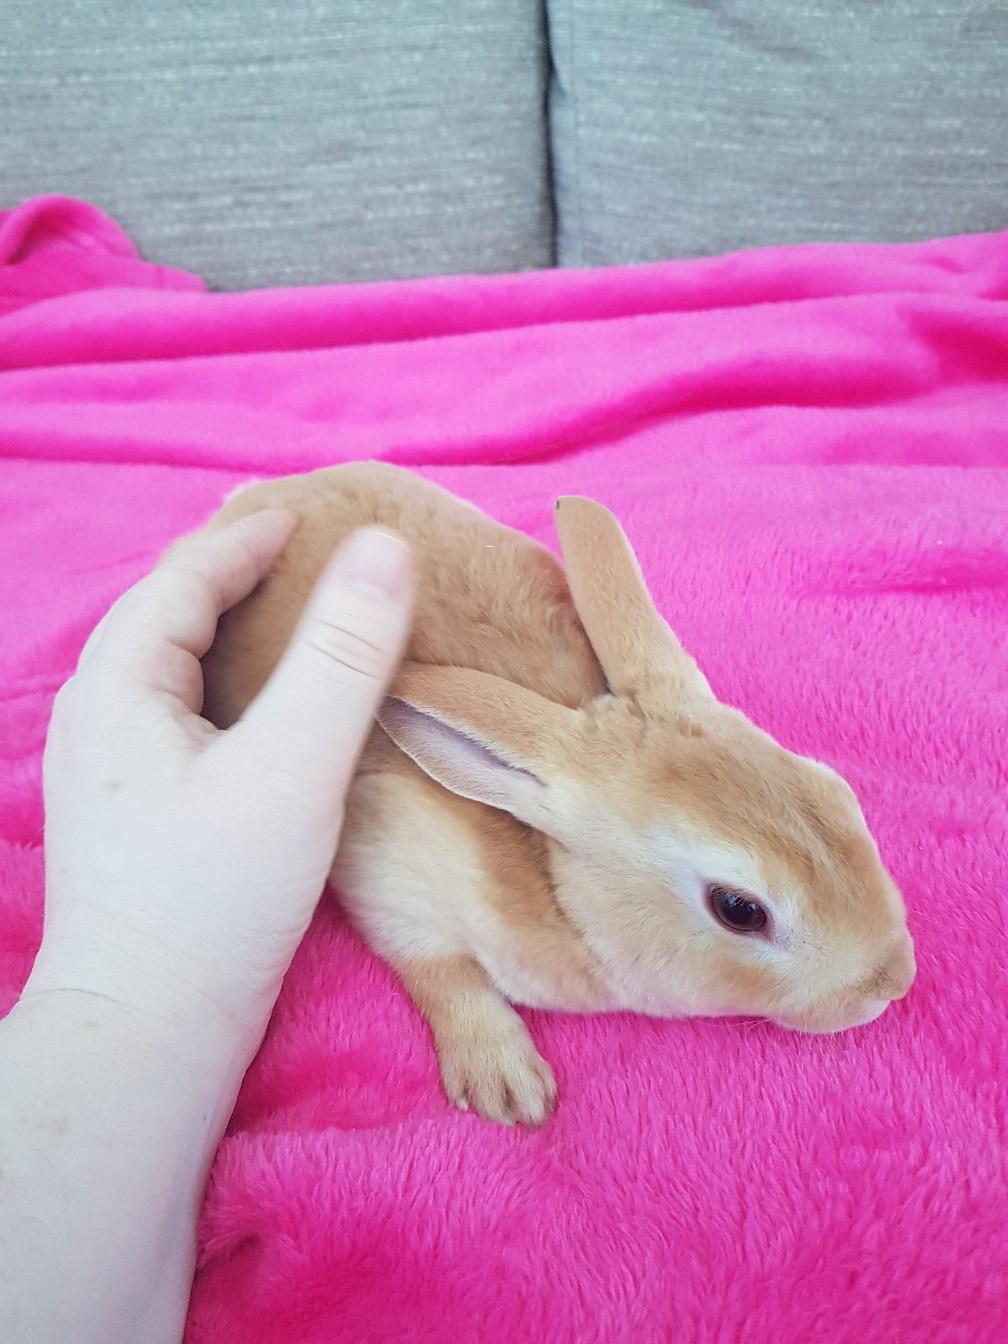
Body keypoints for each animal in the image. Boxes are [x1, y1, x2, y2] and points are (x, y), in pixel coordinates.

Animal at [175, 460, 915, 1127]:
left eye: (839, 793)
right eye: (739, 910)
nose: (891, 984)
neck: (562, 891)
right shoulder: (385, 870)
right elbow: (442, 971)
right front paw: (507, 1085)